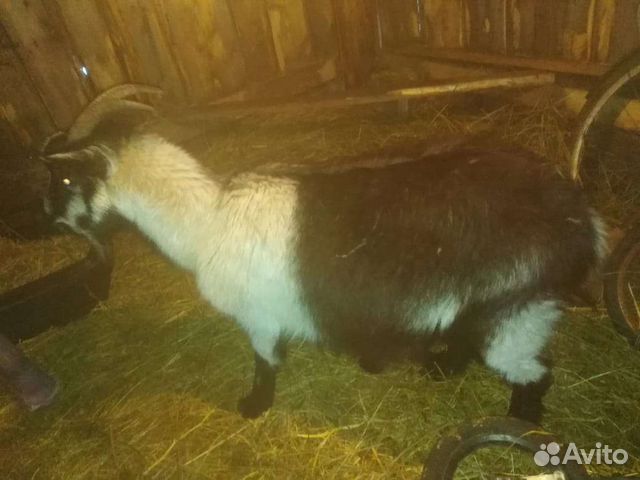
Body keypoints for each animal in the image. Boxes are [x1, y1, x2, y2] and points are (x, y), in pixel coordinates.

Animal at [40, 85, 608, 423]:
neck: (206, 222)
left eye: (65, 179)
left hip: (518, 311)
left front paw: (253, 407)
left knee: (537, 373)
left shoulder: (258, 316)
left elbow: (264, 362)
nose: (46, 215)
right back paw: (441, 370)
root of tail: (580, 220)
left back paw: (519, 421)